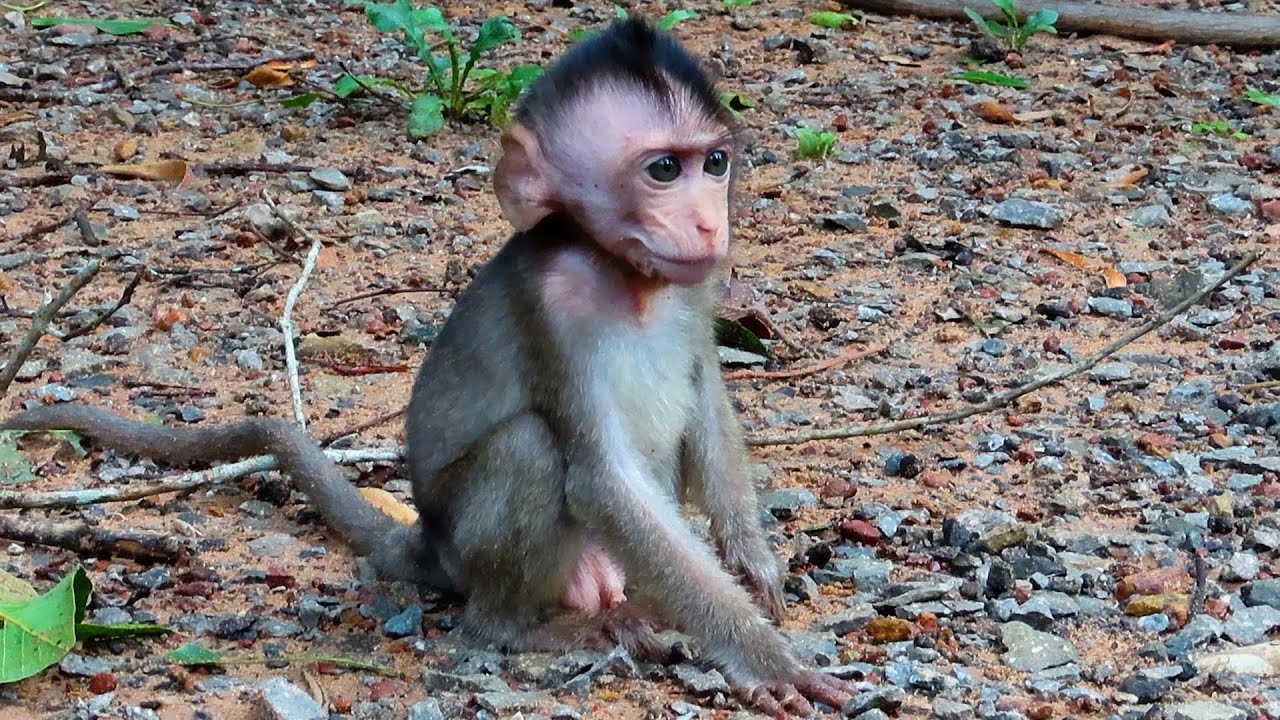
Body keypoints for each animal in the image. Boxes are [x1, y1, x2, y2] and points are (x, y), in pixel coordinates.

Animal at [1, 19, 856, 717]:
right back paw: (521, 630)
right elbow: (600, 476)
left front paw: (751, 562)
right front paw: (765, 657)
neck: (623, 277)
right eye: (662, 172)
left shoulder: (698, 284)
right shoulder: (551, 309)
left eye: (714, 162)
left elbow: (705, 391)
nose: (709, 222)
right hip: (473, 548)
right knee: (531, 453)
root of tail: (428, 545)